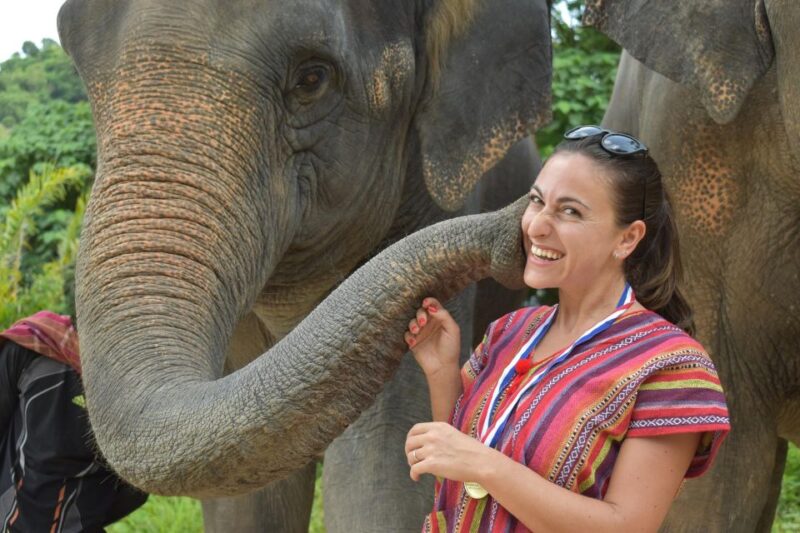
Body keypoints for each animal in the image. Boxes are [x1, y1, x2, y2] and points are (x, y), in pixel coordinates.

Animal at [57, 0, 552, 530]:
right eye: (75, 57)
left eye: (313, 78)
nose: (522, 224)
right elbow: (249, 498)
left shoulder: (438, 190)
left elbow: (380, 465)